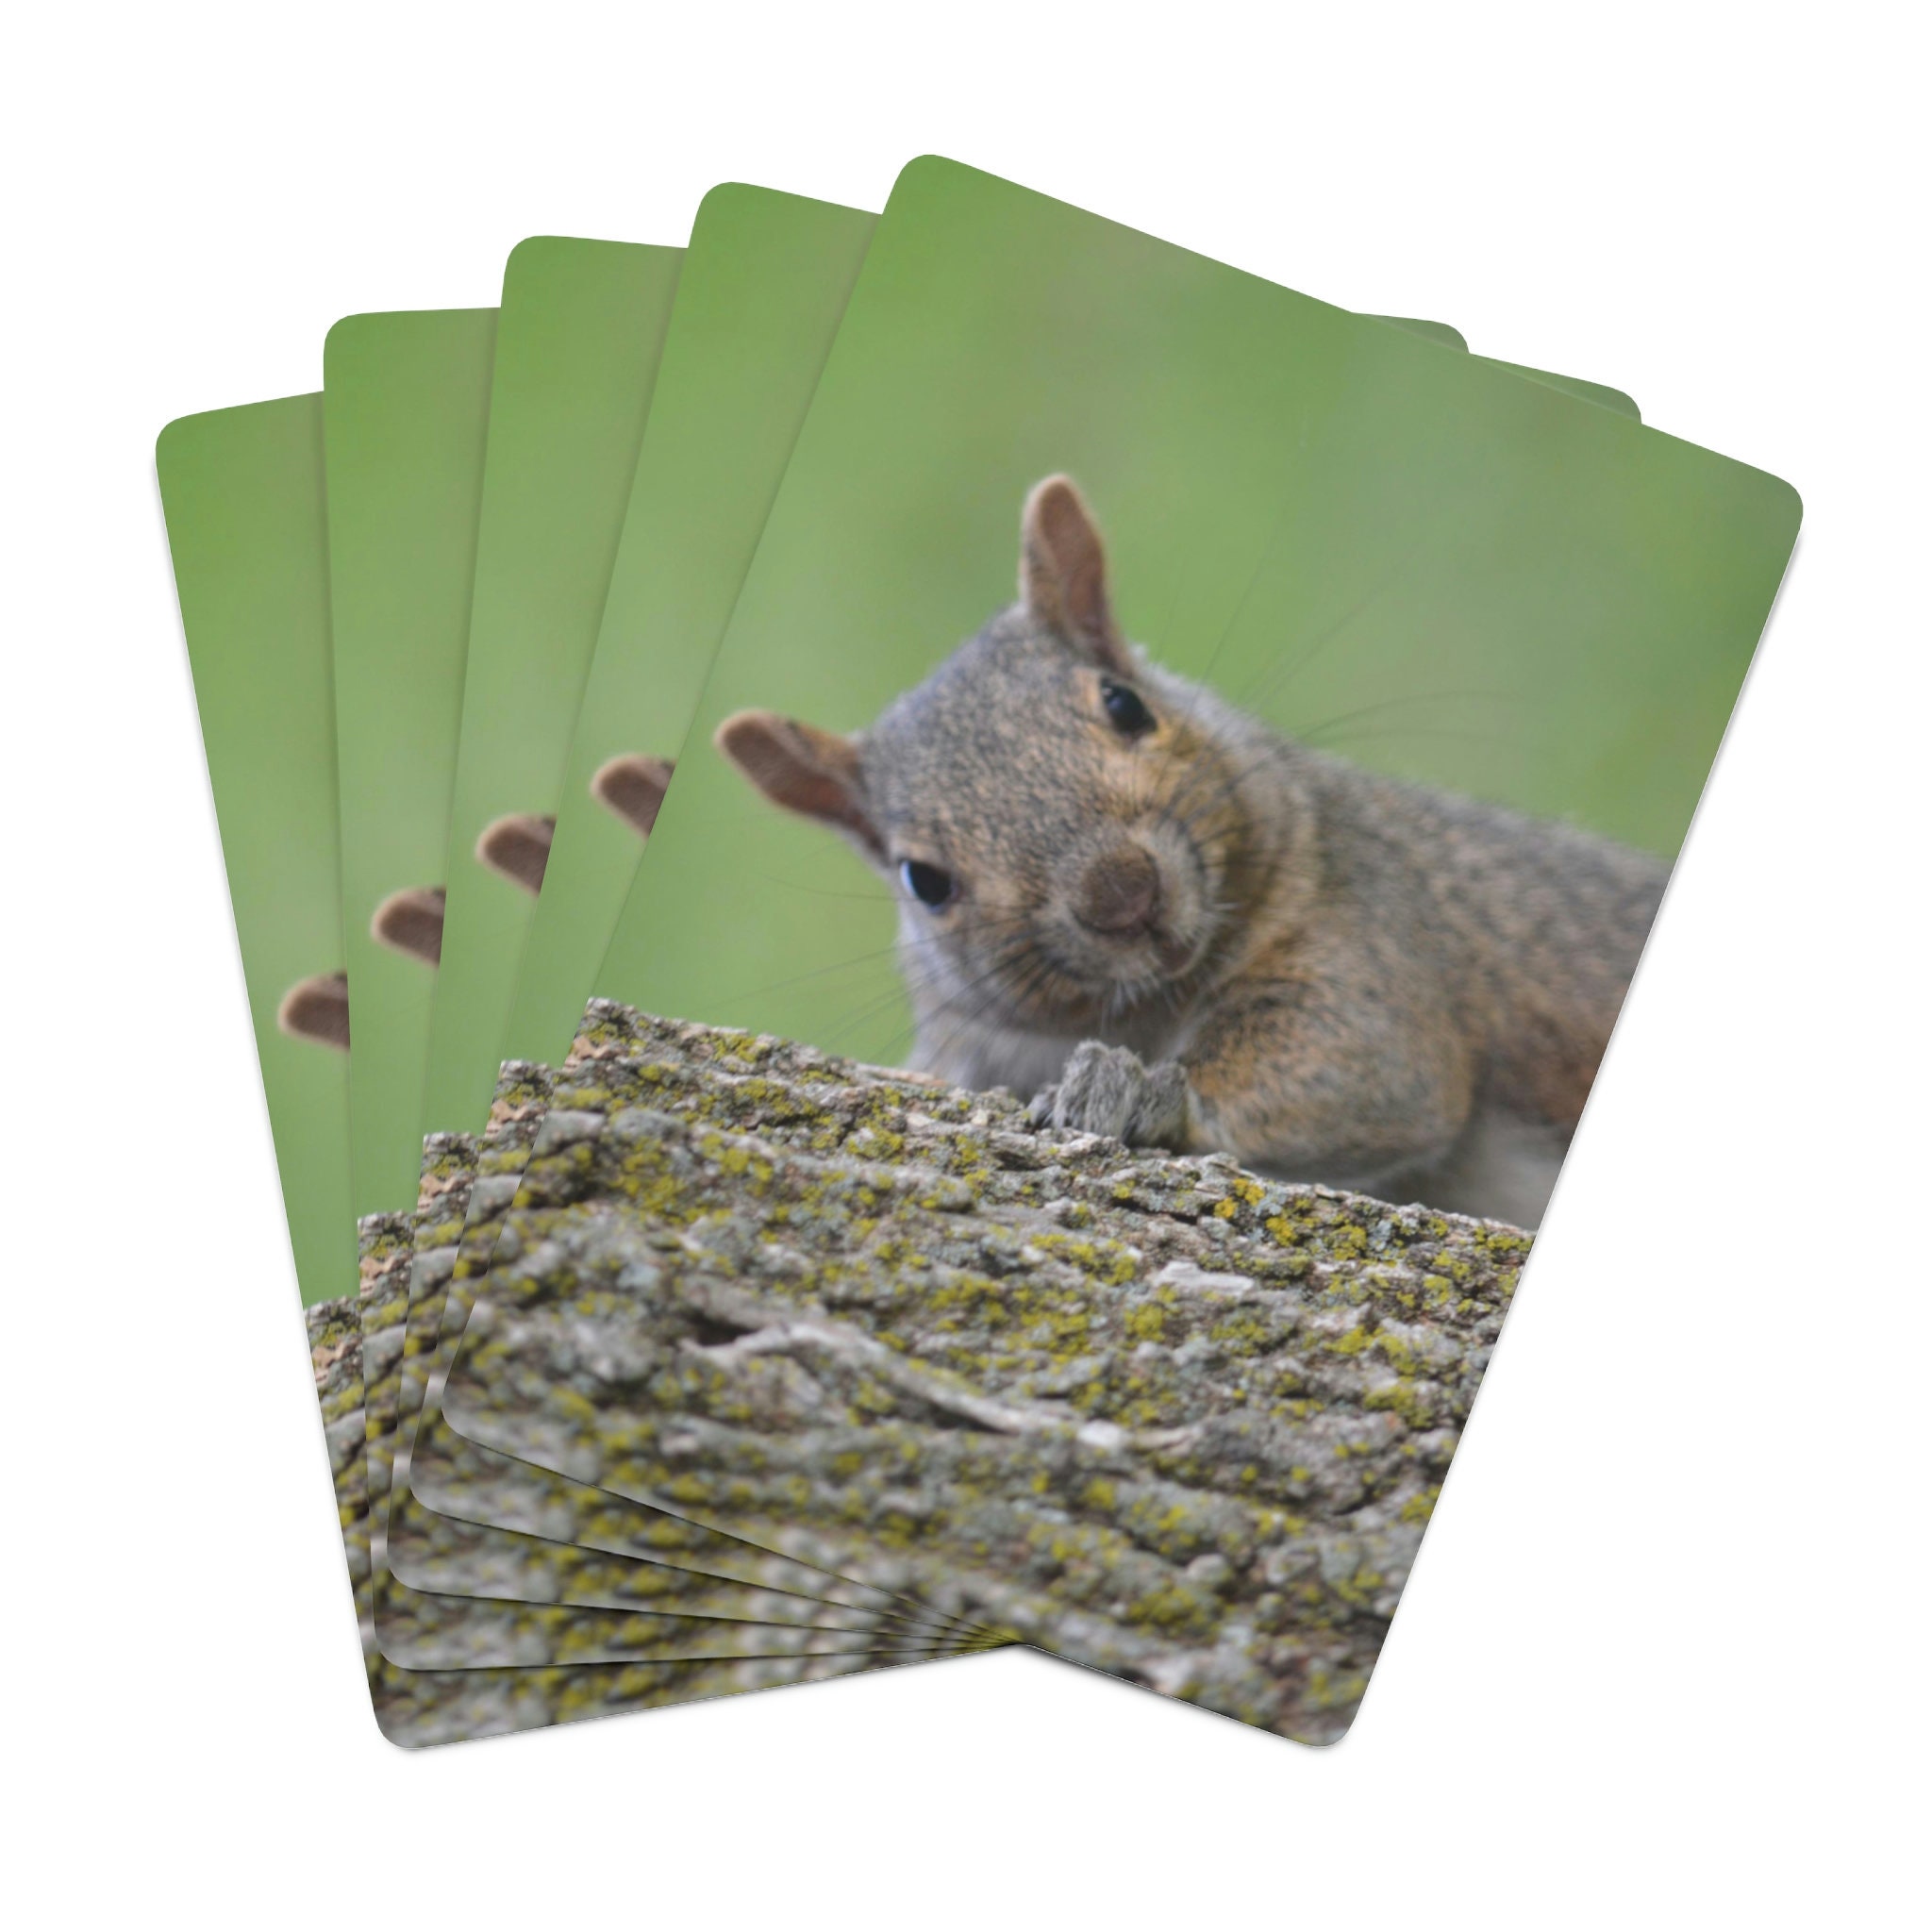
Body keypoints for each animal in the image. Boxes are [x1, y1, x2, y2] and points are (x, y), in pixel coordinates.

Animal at [715, 476, 1668, 1229]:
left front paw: (1137, 1092)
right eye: (924, 880)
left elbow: (1369, 1060)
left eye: (1125, 704)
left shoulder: (1371, 928)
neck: (1141, 1012)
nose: (1122, 895)